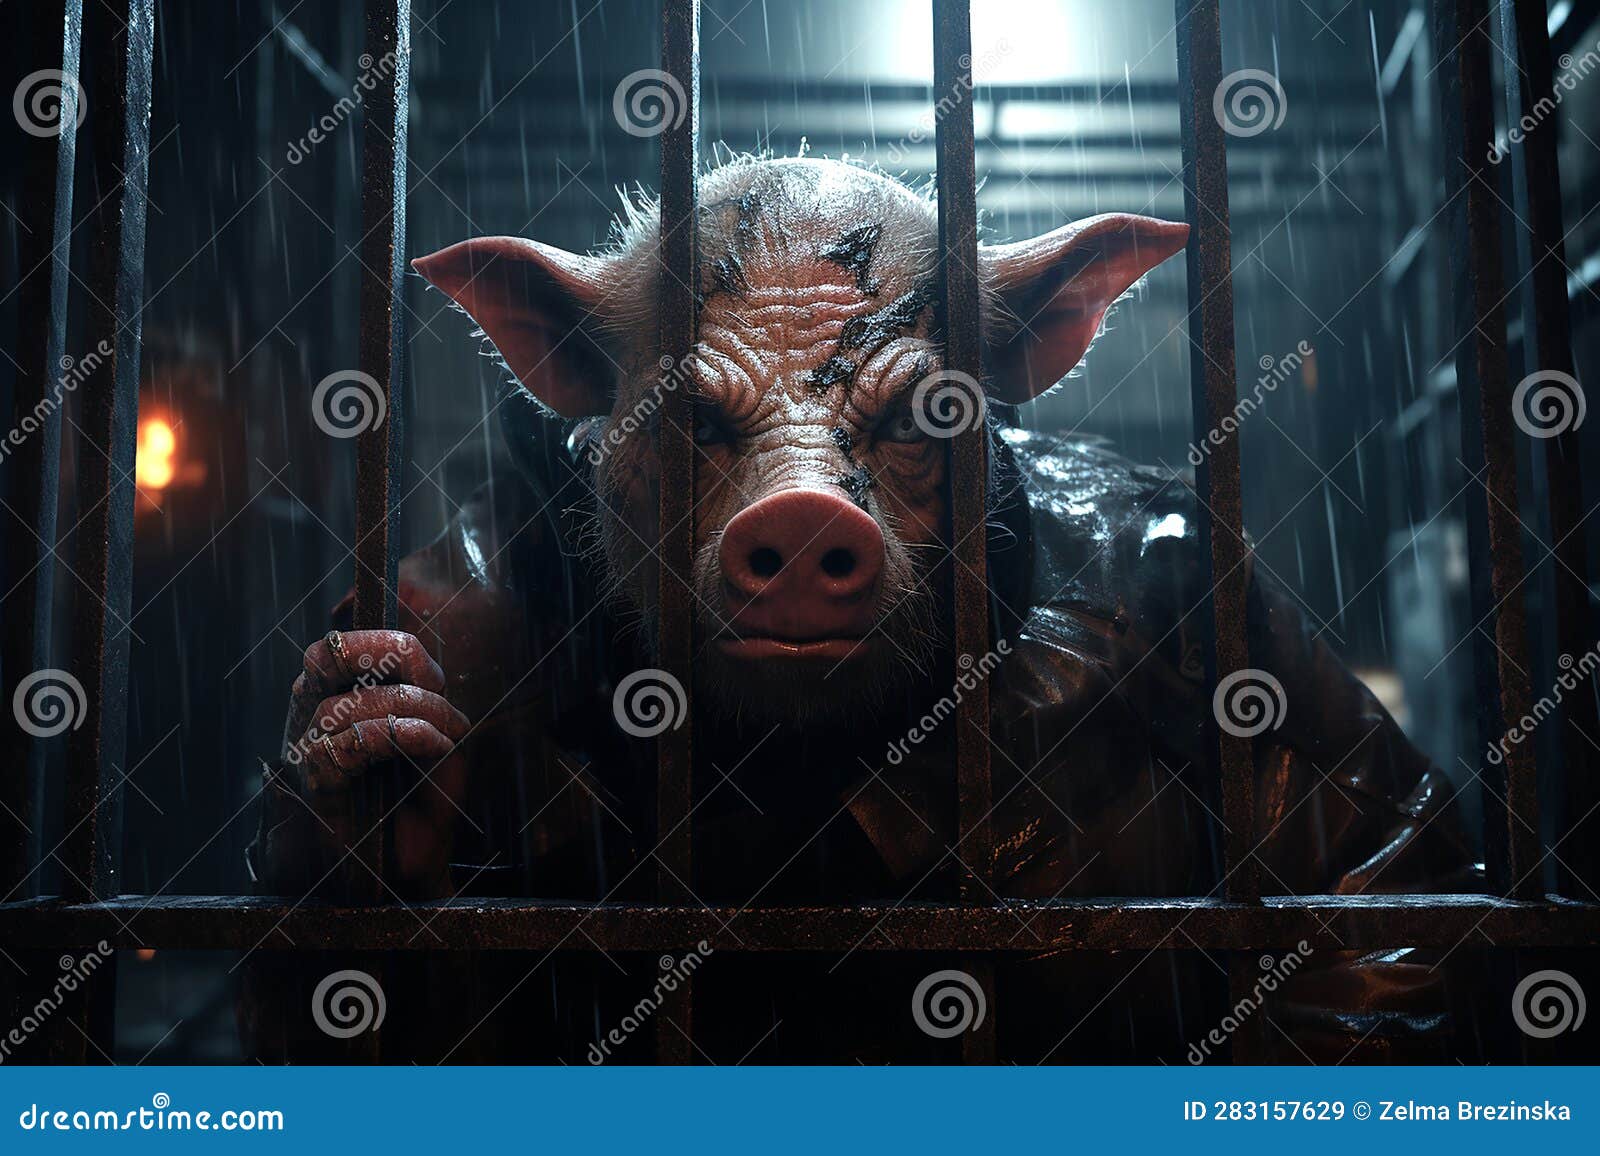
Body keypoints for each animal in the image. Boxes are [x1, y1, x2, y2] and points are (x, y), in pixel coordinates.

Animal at [248, 158, 1480, 1063]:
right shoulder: (460, 603)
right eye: (689, 420)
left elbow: (1376, 870)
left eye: (926, 413)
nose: (800, 513)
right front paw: (368, 739)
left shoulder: (1213, 598)